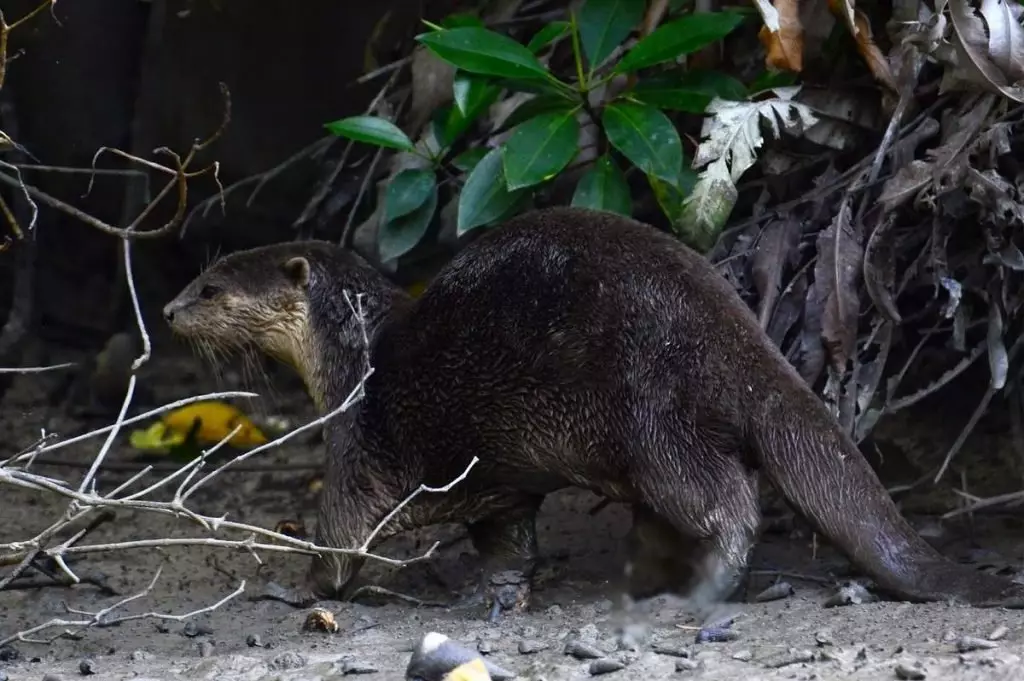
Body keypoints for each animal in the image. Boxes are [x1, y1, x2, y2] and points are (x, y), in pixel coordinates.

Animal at [163, 206, 1024, 610]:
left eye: (210, 286)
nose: (169, 309)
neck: (357, 352)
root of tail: (736, 335)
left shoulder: (358, 436)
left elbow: (341, 537)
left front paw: (297, 588)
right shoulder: (498, 481)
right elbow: (506, 535)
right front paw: (491, 587)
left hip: (648, 414)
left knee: (724, 496)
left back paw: (703, 584)